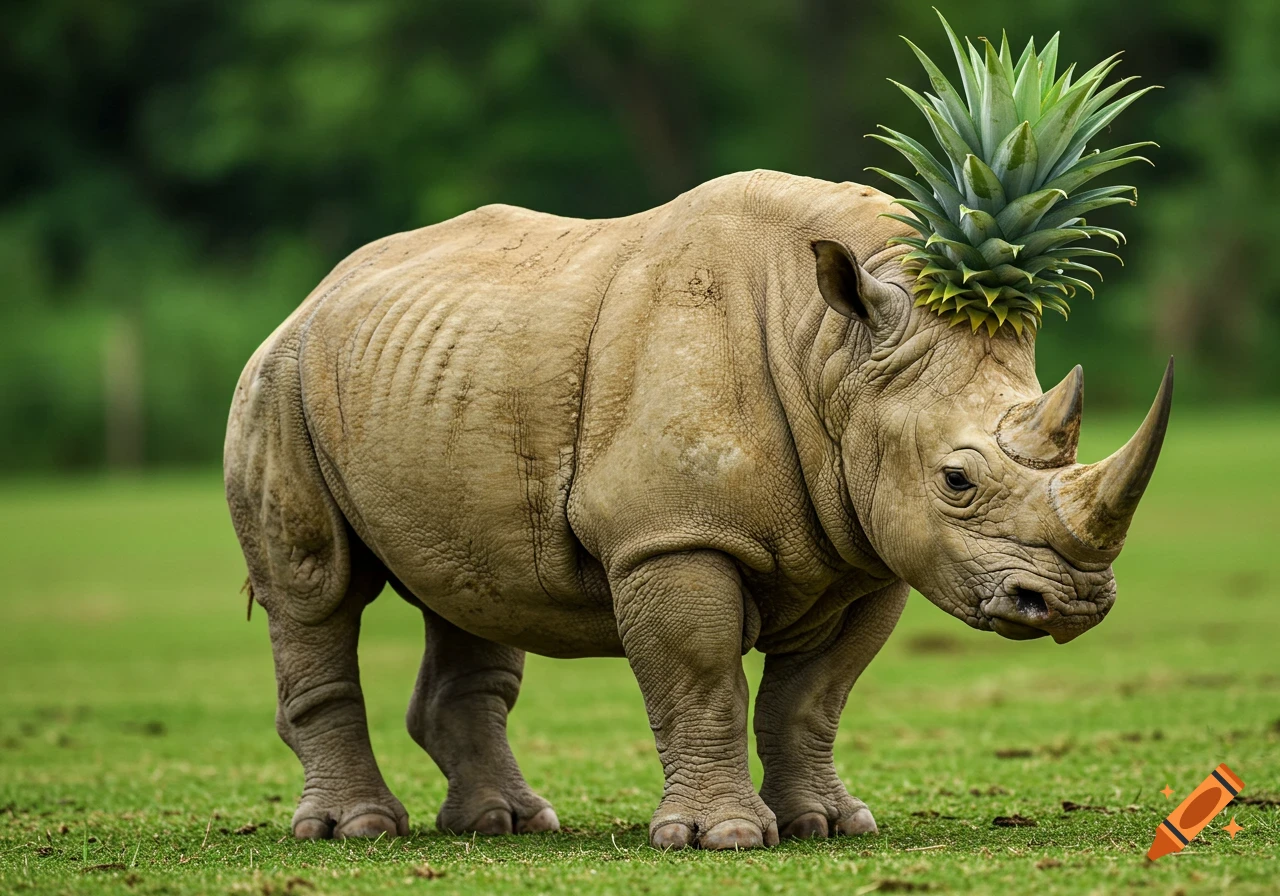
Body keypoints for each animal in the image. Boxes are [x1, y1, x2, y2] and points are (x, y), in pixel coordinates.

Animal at [224, 170, 1172, 849]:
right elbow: (703, 676)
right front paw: (723, 838)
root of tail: (315, 292)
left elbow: (813, 697)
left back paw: (506, 824)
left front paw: (829, 826)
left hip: (443, 372)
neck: (834, 353)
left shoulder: (870, 551)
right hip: (278, 380)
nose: (1074, 604)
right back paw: (357, 830)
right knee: (316, 591)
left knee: (469, 589)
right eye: (957, 481)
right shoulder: (671, 537)